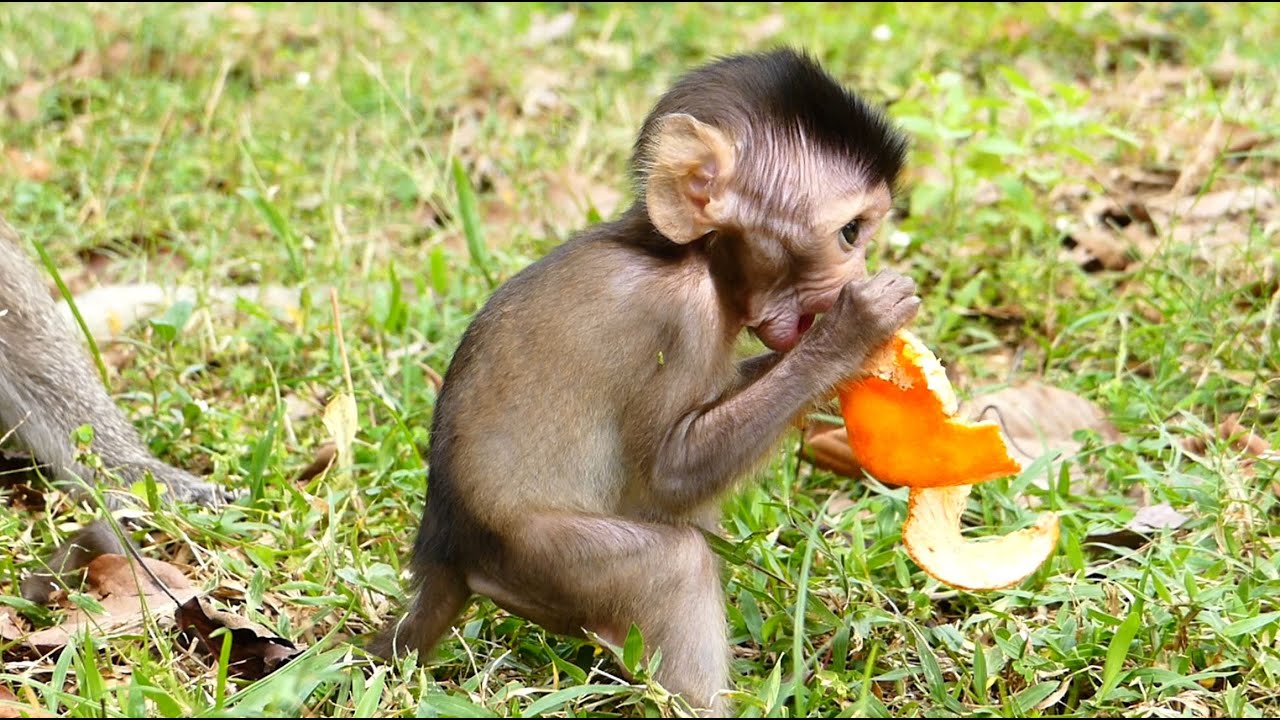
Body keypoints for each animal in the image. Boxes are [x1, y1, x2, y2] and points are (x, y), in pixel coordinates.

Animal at [373, 48, 919, 715]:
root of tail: (444, 547)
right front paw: (853, 332)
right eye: (850, 233)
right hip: (532, 554)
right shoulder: (678, 319)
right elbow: (670, 476)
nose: (859, 273)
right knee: (674, 563)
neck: (686, 257)